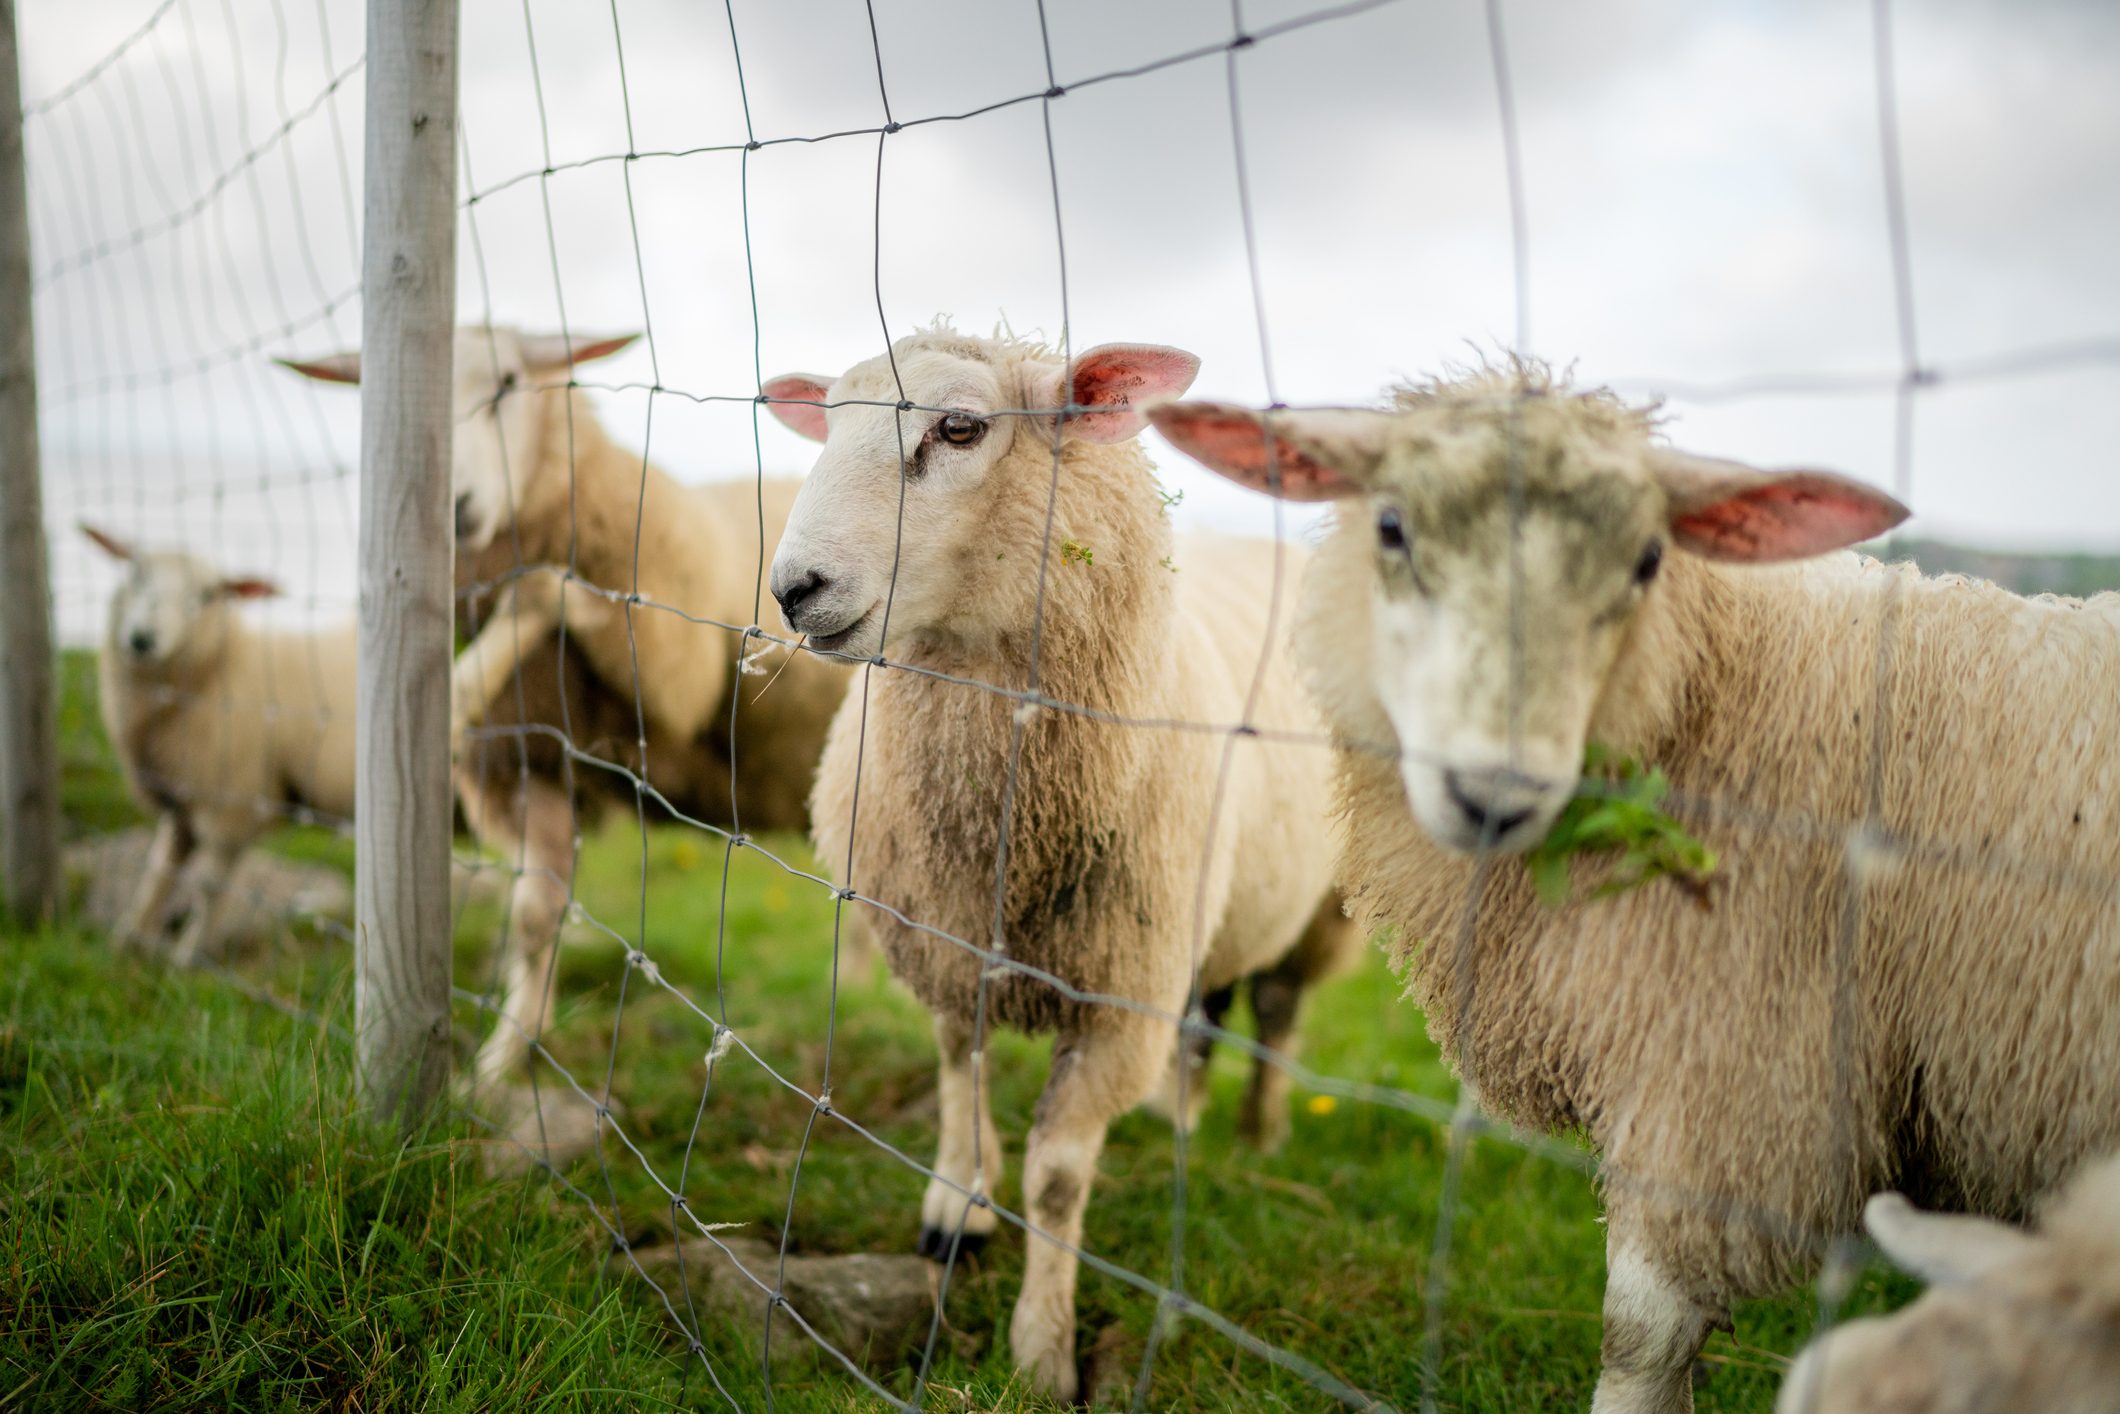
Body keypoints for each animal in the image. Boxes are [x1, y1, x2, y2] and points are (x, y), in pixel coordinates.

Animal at [81, 525, 356, 966]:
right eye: (135, 572)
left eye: (208, 595)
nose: (142, 638)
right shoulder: (183, 800)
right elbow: (160, 872)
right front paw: (127, 943)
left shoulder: (234, 800)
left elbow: (210, 885)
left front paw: (186, 958)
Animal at [282, 328, 851, 1083]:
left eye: (509, 382)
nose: (455, 506)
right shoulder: (525, 766)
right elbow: (533, 914)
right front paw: (502, 1061)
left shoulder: (672, 671)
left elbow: (554, 596)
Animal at [761, 327, 1359, 1400]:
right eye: (825, 423)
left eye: (961, 427)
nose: (795, 591)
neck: (1012, 832)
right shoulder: (946, 937)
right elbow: (958, 1069)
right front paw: (957, 1207)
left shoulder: (1121, 998)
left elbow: (1057, 1177)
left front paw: (1042, 1350)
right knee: (1211, 1013)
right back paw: (1180, 1116)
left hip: (1317, 909)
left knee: (1278, 1012)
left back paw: (1260, 1135)